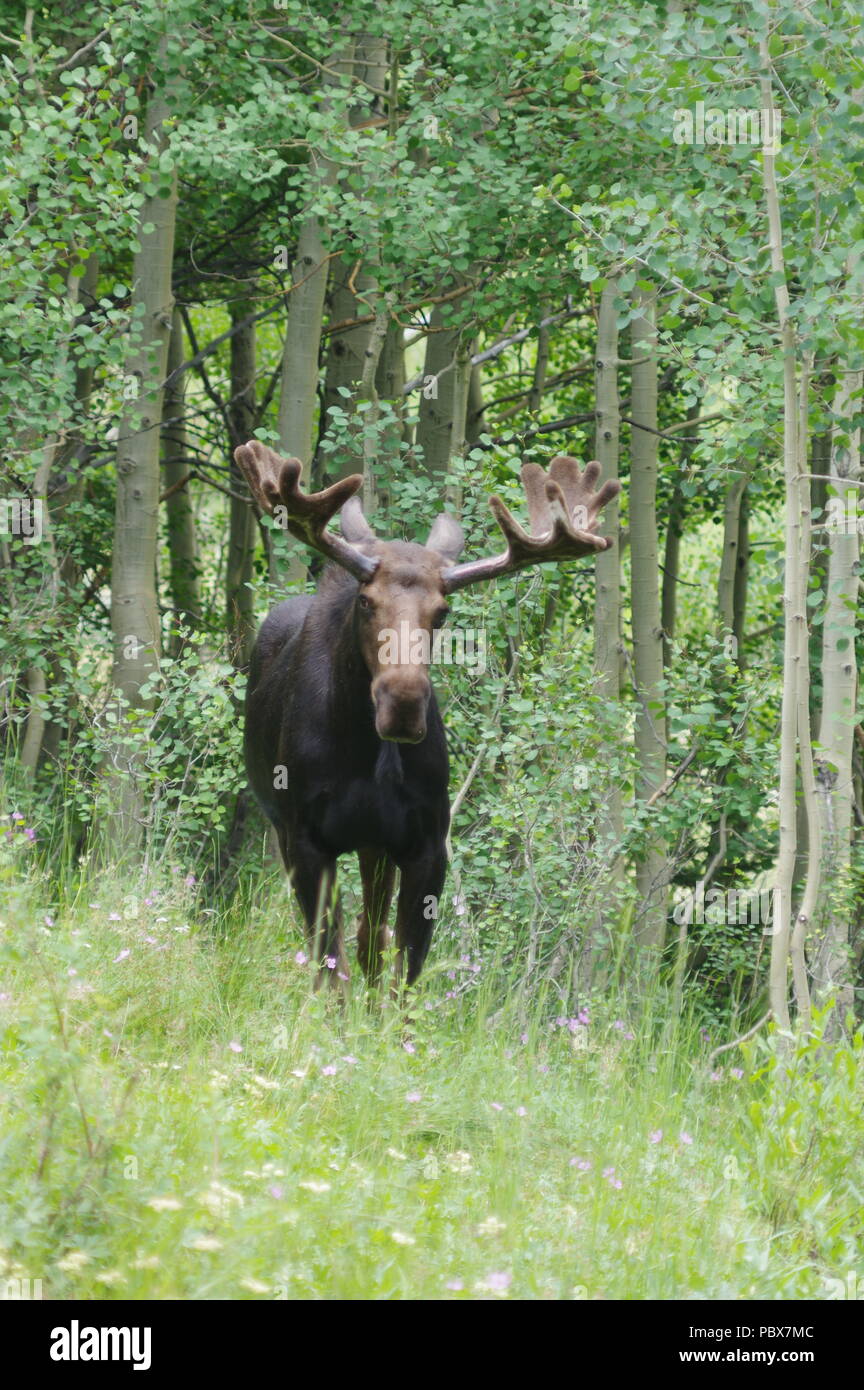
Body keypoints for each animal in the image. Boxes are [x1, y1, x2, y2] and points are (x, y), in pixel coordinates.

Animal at [235, 439, 620, 995]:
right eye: (366, 601)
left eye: (442, 611)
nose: (403, 704)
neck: (361, 752)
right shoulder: (305, 840)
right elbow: (332, 968)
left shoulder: (425, 846)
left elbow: (402, 972)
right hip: (293, 831)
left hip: (374, 846)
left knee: (370, 937)